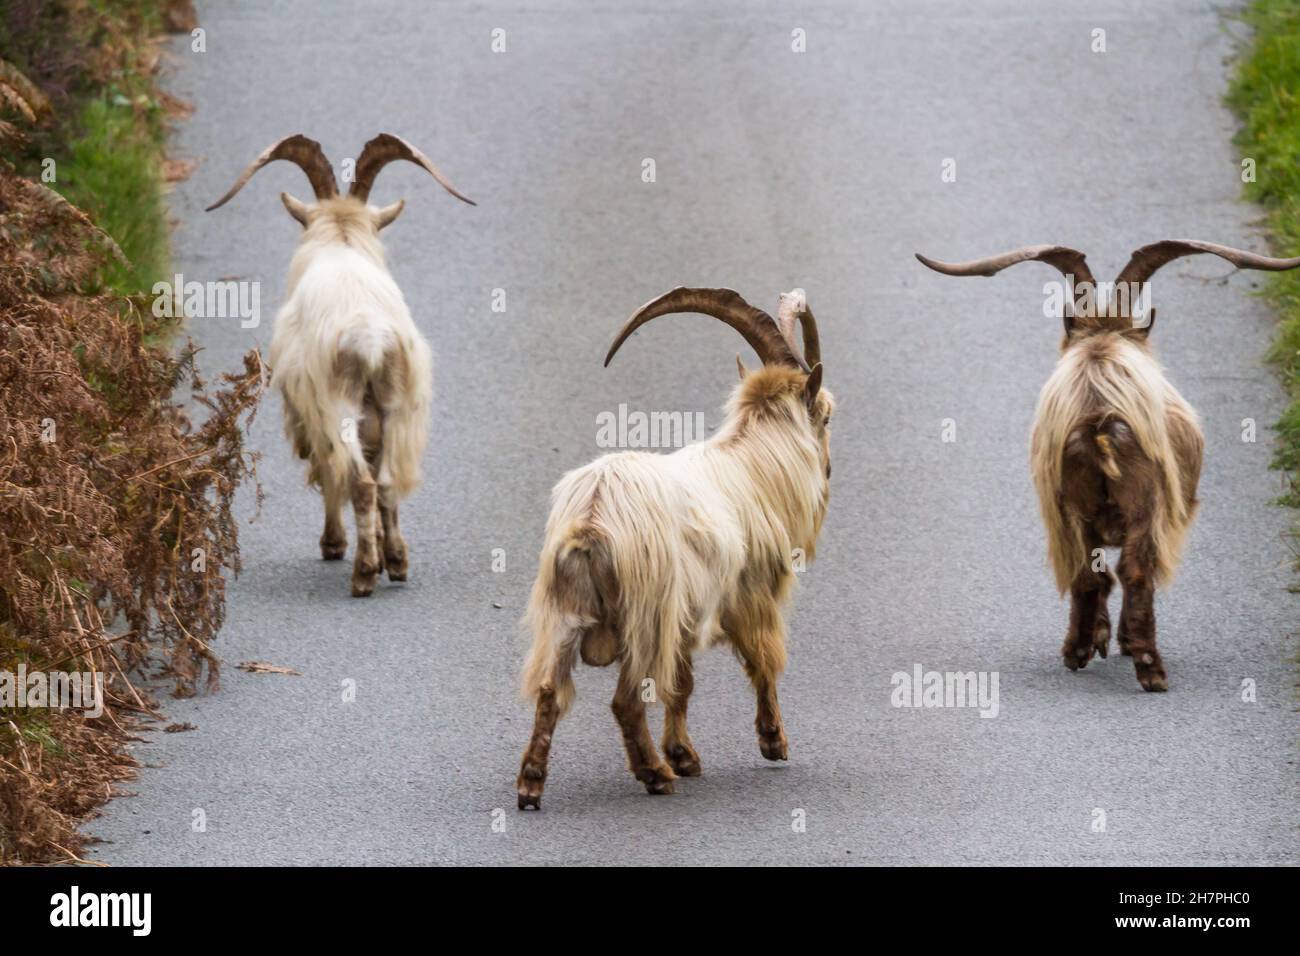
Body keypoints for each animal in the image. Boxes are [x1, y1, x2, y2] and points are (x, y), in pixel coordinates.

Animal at [206, 134, 474, 596]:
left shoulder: (307, 409)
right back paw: (396, 562)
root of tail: (369, 339)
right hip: (397, 408)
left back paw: (363, 574)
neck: (342, 242)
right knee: (385, 482)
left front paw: (333, 544)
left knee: (358, 481)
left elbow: (326, 471)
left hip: (338, 407)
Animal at [516, 288, 832, 808]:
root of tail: (591, 519)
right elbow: (762, 663)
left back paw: (530, 785)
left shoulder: (687, 617)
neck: (754, 464)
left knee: (548, 690)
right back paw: (654, 774)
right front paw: (771, 742)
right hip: (645, 614)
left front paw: (686, 754)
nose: (828, 469)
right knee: (625, 701)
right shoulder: (749, 596)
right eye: (826, 416)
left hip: (566, 610)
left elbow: (681, 686)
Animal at [916, 240, 1300, 690]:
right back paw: (1146, 667)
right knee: (1133, 572)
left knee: (1089, 573)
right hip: (1145, 503)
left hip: (1068, 505)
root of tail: (1099, 420)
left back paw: (1079, 651)